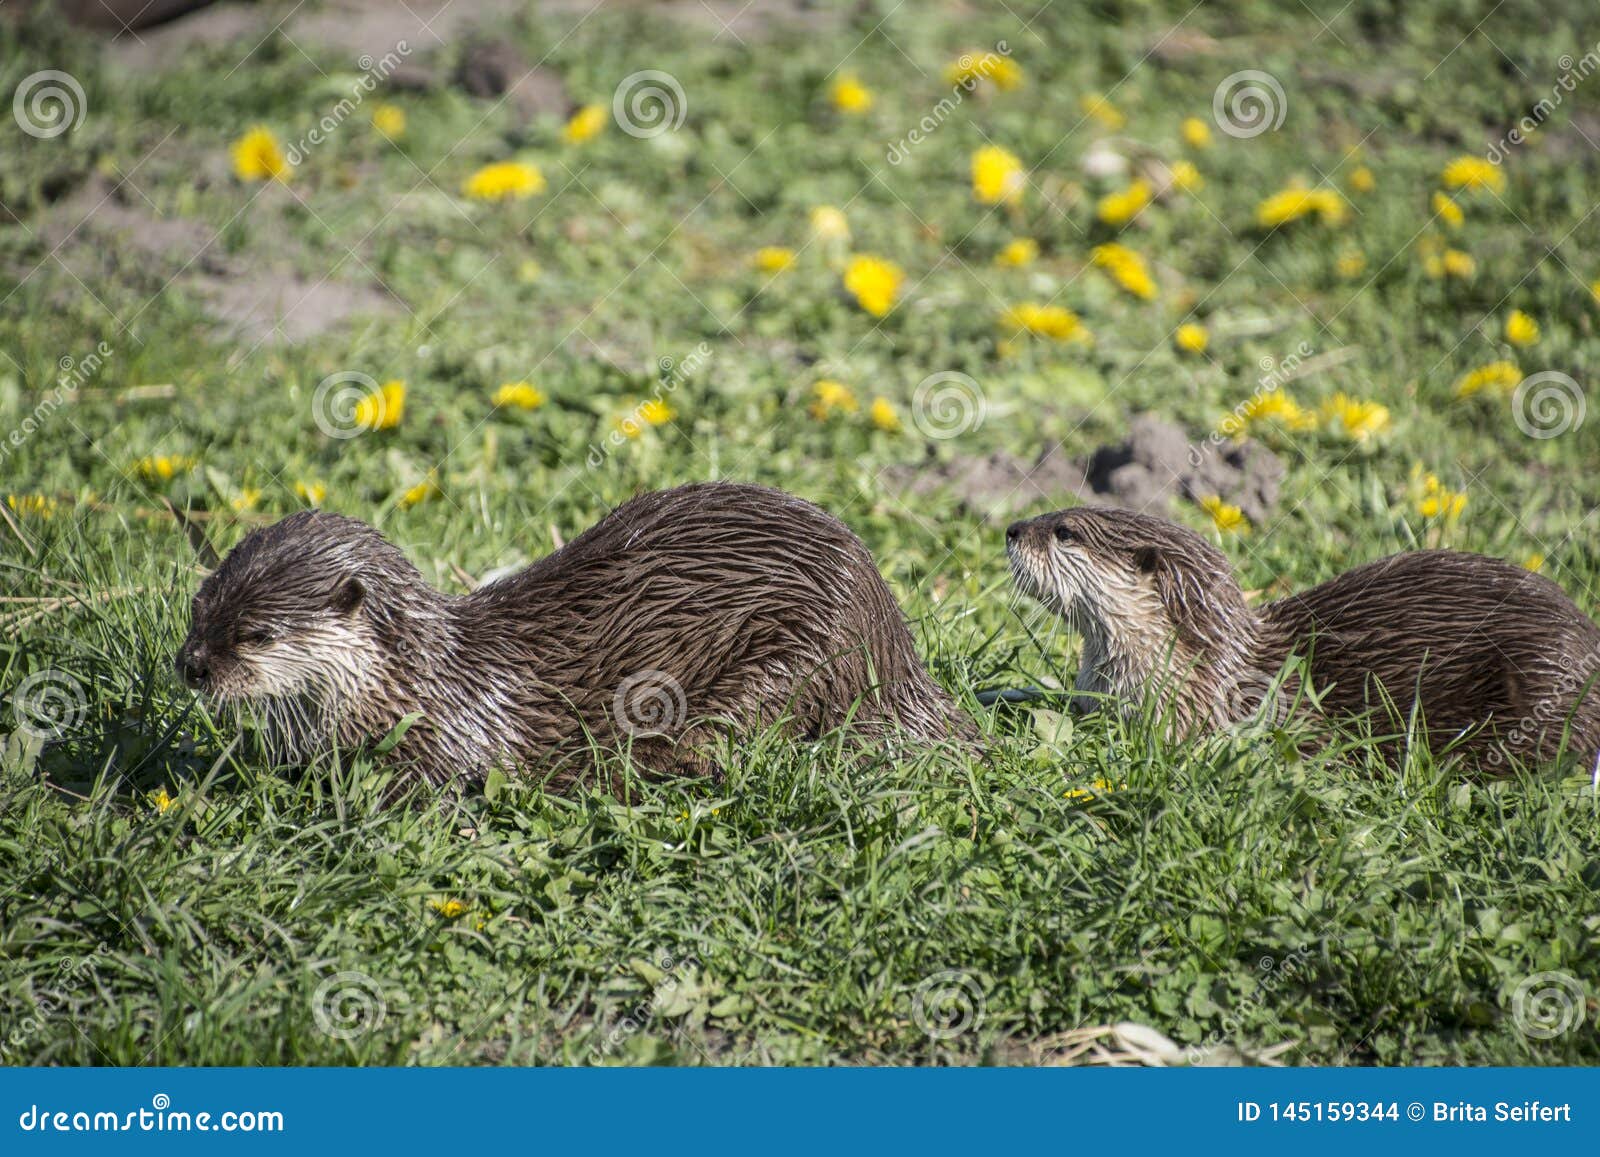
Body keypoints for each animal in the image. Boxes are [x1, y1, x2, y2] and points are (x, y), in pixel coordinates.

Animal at [177, 482, 976, 792]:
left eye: (257, 633)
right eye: (197, 606)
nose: (191, 667)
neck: (428, 686)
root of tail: (892, 643)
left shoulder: (450, 748)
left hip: (802, 651)